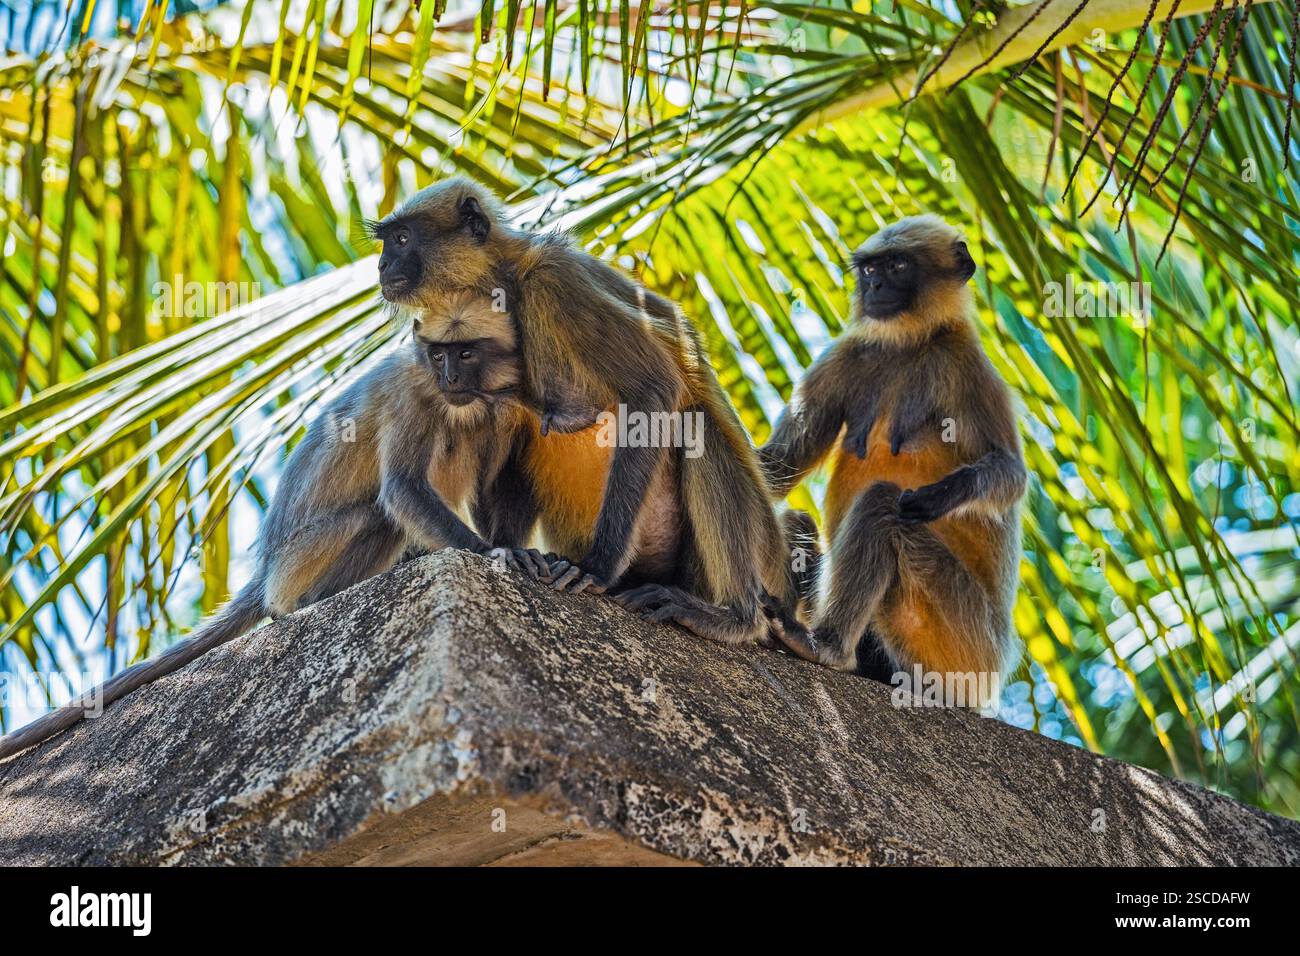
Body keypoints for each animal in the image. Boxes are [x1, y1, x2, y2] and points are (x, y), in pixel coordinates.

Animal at [0, 292, 555, 761]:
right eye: (439, 356)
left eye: (466, 354)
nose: (450, 378)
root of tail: (266, 568)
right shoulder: (411, 390)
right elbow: (400, 489)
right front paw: (492, 553)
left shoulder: (495, 402)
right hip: (297, 562)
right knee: (375, 516)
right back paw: (315, 600)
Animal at [372, 178, 808, 646]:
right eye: (387, 242)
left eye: (402, 239)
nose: (381, 266)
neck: (506, 279)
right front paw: (510, 551)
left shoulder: (554, 280)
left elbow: (653, 392)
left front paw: (598, 568)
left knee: (699, 425)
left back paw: (736, 617)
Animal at [758, 215, 1027, 706]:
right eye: (869, 270)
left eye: (898, 266)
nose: (876, 286)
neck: (908, 345)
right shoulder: (842, 356)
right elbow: (780, 465)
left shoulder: (964, 362)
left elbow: (1011, 474)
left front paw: (944, 496)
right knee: (798, 521)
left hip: (962, 644)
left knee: (884, 504)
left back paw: (826, 646)